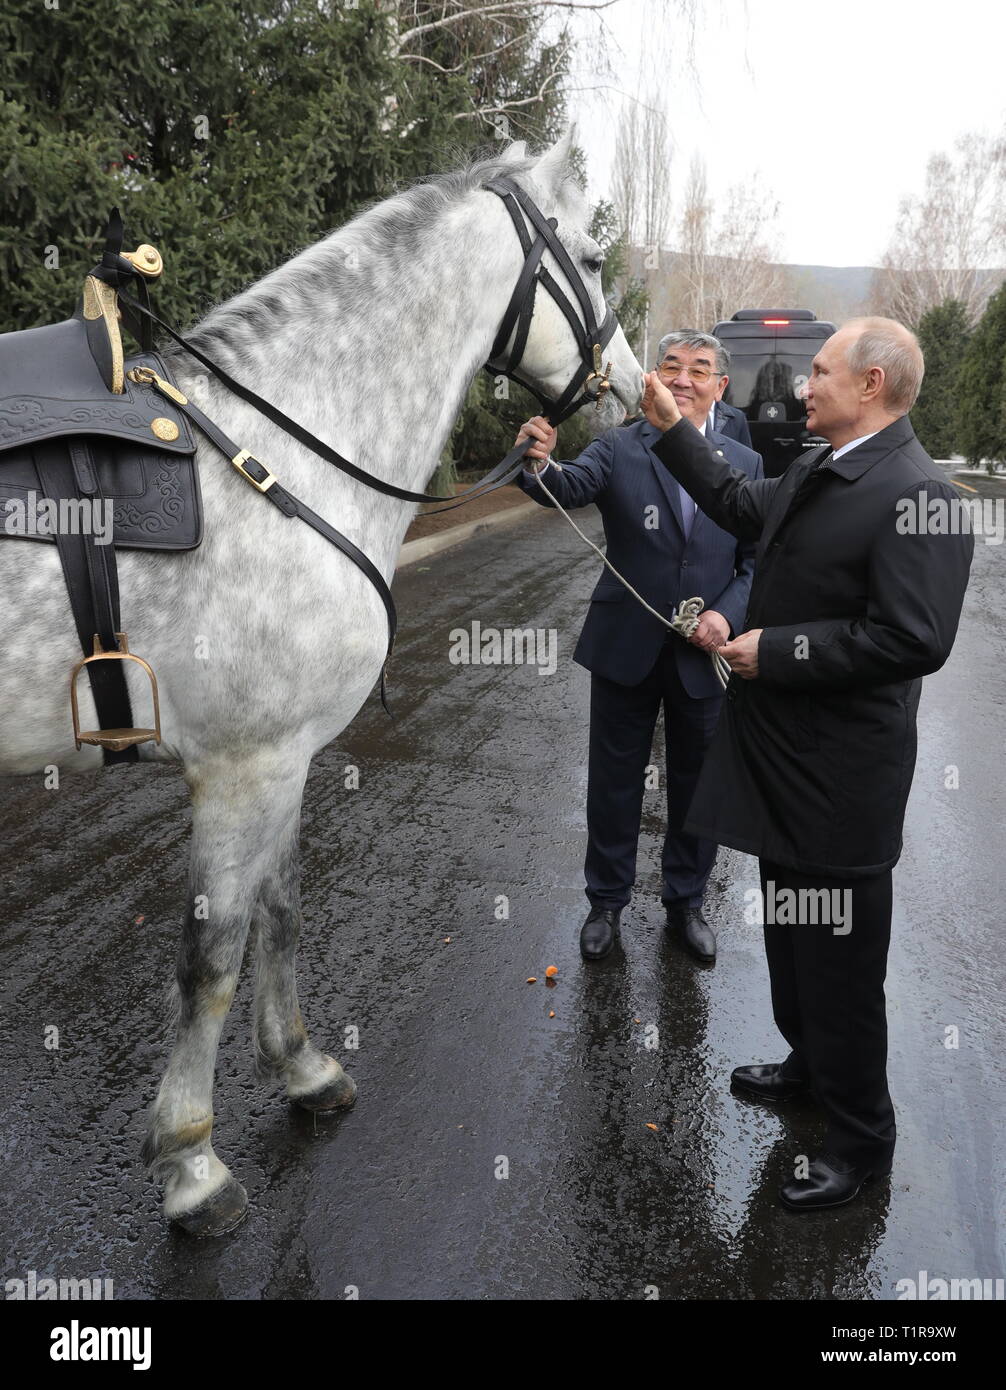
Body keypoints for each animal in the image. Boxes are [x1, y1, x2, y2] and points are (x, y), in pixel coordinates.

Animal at [0, 130, 643, 1234]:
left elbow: (282, 916)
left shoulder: (285, 759)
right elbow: (210, 960)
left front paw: (300, 1068)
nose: (638, 388)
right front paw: (191, 1160)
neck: (279, 451)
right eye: (593, 259)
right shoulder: (242, 767)